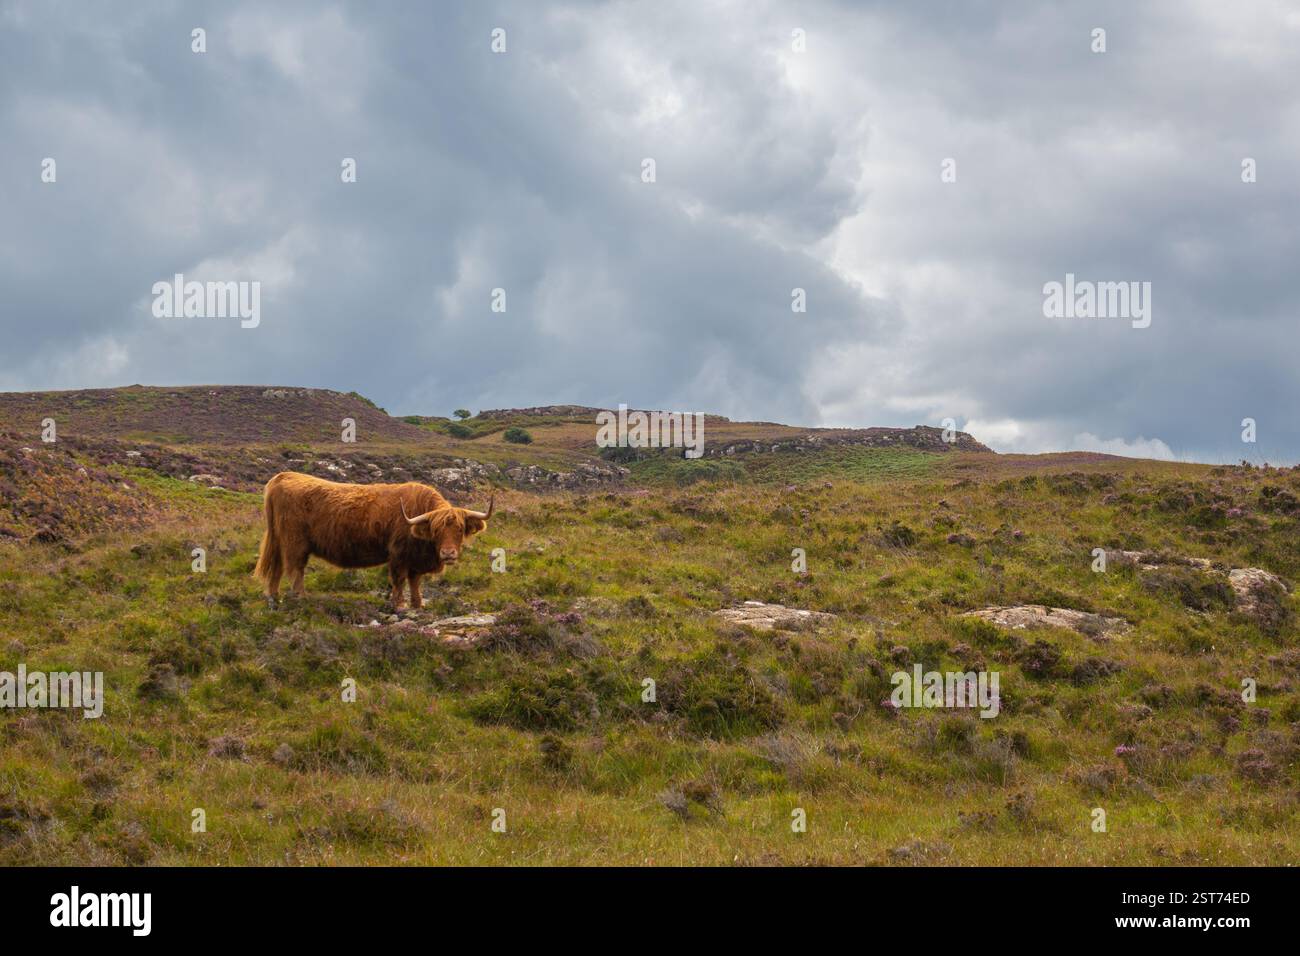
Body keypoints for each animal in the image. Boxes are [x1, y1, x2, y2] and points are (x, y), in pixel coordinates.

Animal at [252, 471, 493, 609]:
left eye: (460, 529)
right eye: (435, 530)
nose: (448, 553)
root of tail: (283, 476)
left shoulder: (414, 558)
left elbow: (415, 580)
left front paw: (418, 604)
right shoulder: (398, 554)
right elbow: (399, 579)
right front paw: (399, 604)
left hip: (279, 541)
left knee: (277, 568)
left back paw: (274, 597)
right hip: (295, 542)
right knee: (295, 568)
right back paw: (300, 596)